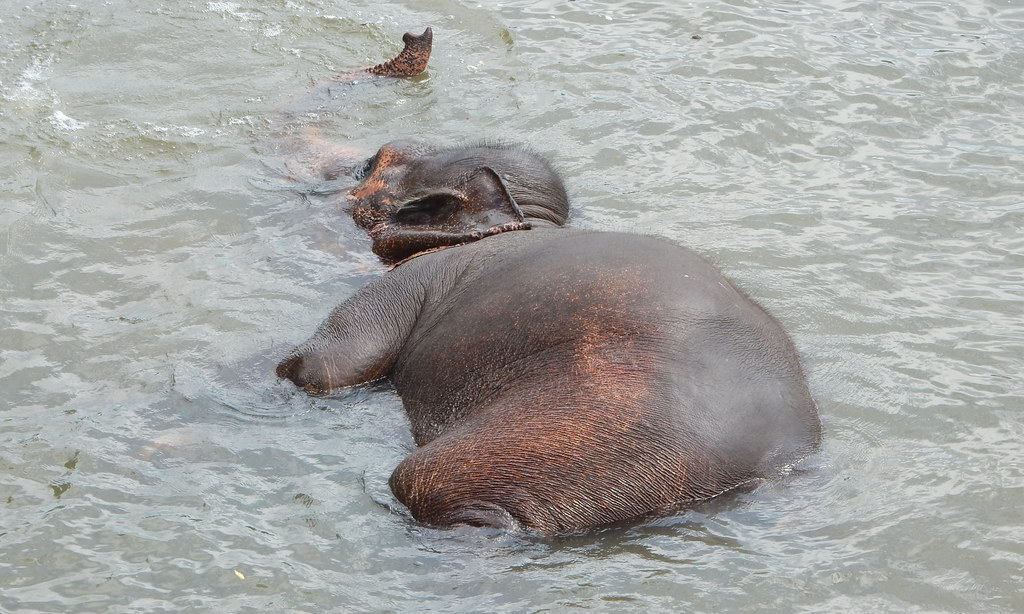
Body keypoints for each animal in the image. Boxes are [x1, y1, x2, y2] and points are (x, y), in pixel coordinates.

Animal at [275, 30, 821, 535]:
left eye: (373, 163)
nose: (415, 38)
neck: (528, 219)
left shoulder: (417, 280)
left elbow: (324, 366)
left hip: (564, 437)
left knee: (425, 483)